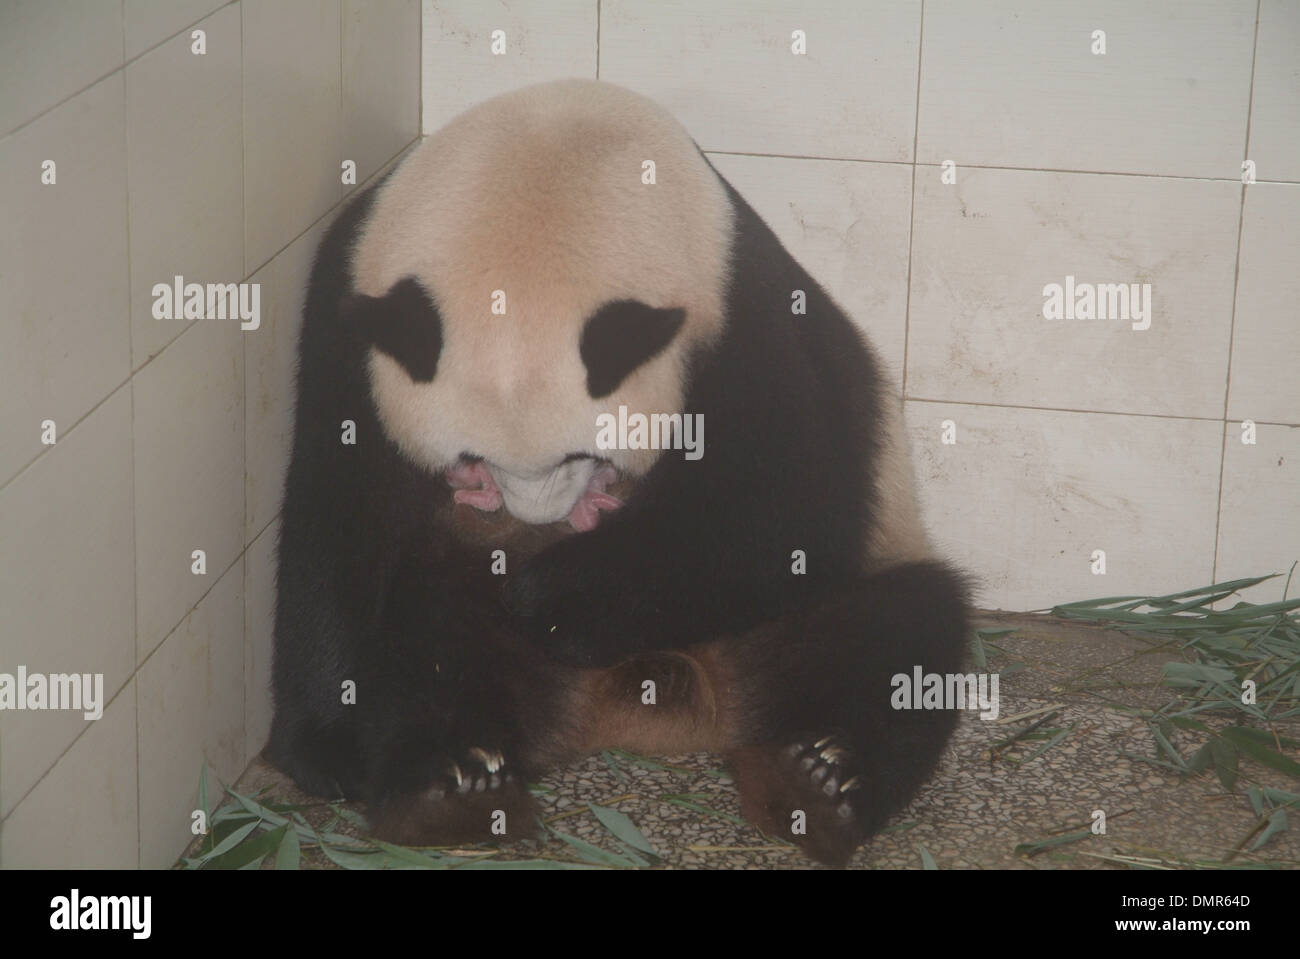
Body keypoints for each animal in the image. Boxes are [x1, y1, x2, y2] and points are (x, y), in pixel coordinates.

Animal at [266, 78, 970, 867]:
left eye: (587, 457)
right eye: (471, 460)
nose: (537, 523)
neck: (548, 170)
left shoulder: (740, 308)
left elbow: (788, 511)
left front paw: (548, 597)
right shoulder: (348, 305)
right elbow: (339, 515)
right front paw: (326, 747)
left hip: (815, 604)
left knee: (902, 635)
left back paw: (818, 781)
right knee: (434, 638)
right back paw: (451, 789)